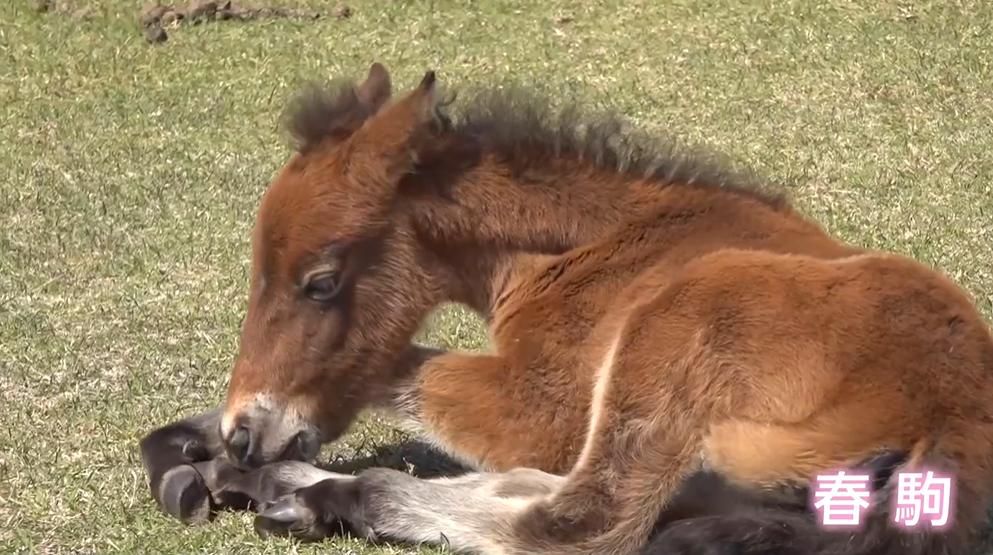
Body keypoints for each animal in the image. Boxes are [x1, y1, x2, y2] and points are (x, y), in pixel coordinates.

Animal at [207, 62, 993, 554]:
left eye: (320, 281)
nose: (242, 435)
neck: (593, 246)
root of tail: (957, 411)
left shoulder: (538, 406)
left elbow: (393, 367)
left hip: (674, 331)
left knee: (578, 522)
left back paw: (327, 496)